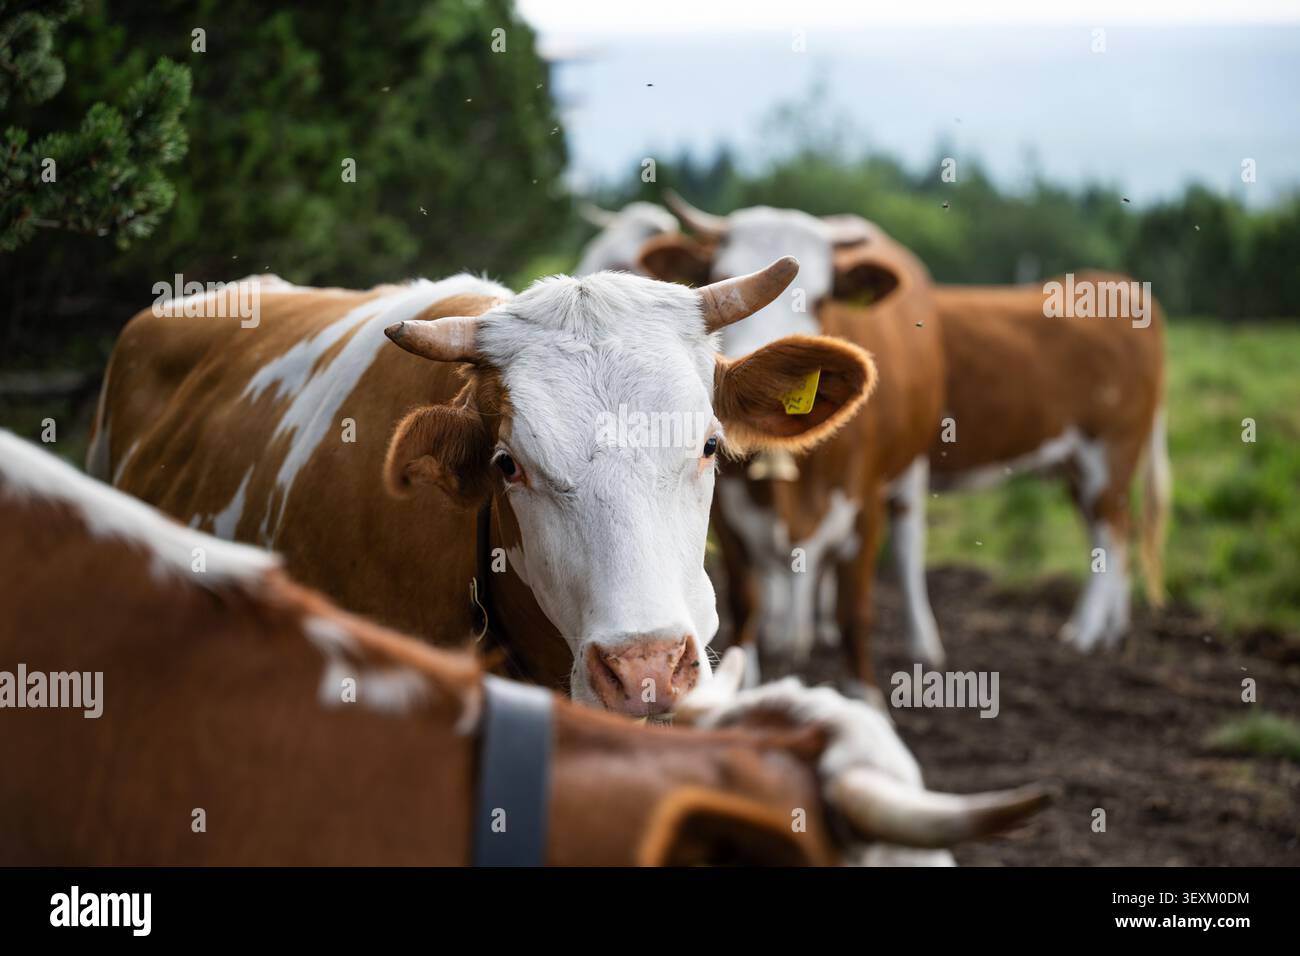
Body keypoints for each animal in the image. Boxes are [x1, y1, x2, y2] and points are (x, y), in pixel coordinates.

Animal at [639, 195, 949, 691]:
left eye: (822, 297)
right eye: (718, 275)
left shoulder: (864, 503)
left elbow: (853, 612)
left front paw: (866, 696)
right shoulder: (725, 510)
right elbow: (746, 599)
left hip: (910, 468)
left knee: (906, 544)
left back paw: (921, 640)